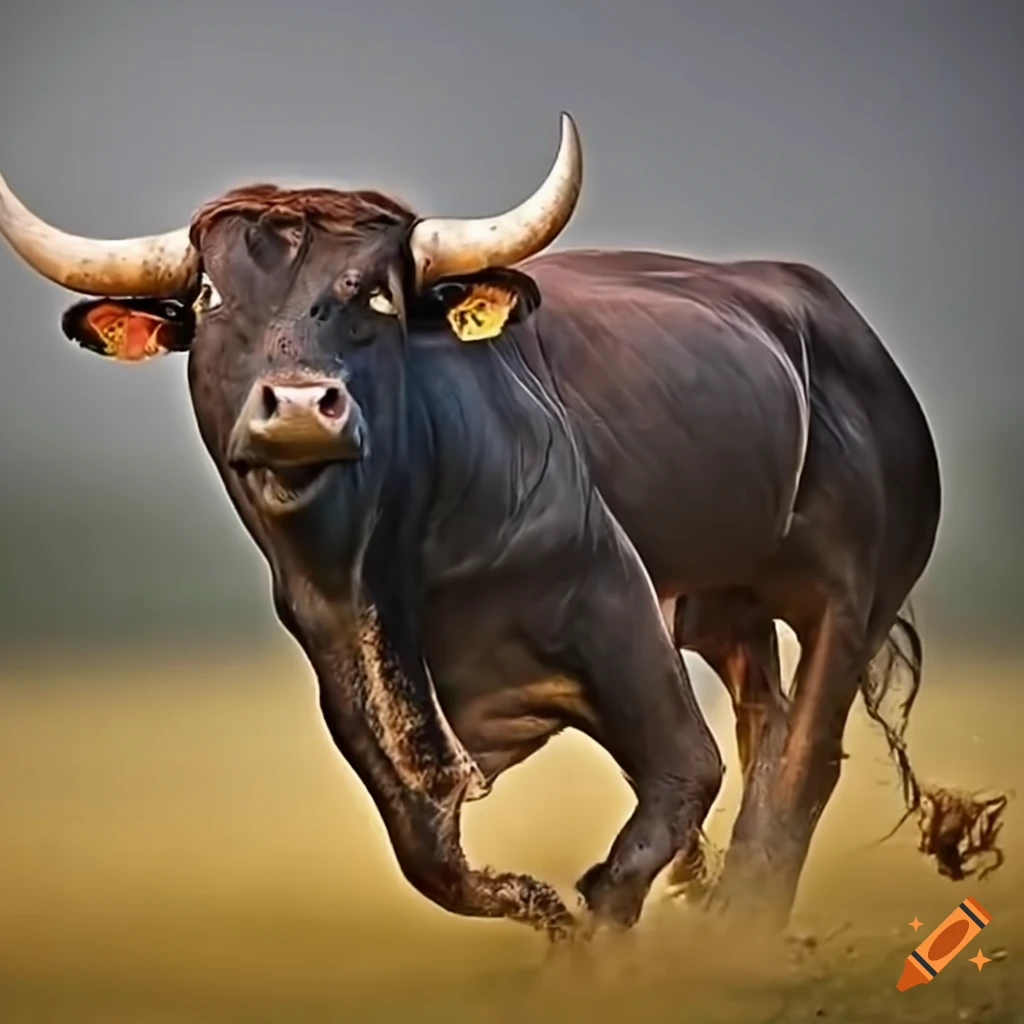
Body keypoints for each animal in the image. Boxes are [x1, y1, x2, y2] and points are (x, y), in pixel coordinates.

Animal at [0, 113, 995, 942]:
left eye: (378, 298)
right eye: (209, 297)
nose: (300, 408)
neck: (388, 561)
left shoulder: (619, 622)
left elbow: (672, 793)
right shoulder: (357, 698)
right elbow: (433, 859)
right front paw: (538, 903)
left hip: (851, 593)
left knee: (802, 759)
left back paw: (743, 933)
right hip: (723, 606)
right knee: (770, 724)